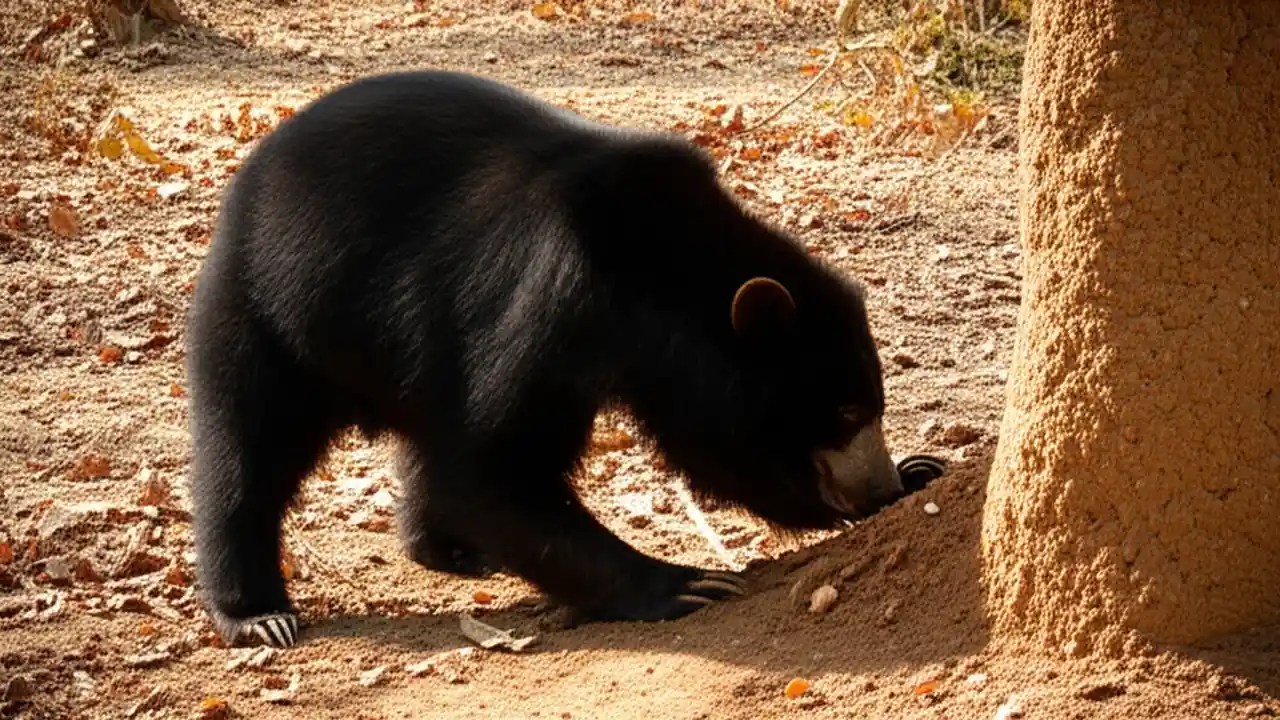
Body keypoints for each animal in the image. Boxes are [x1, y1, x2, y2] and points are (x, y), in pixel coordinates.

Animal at [185, 70, 925, 649]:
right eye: (846, 410)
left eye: (875, 404)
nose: (879, 487)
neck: (658, 268)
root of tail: (255, 169)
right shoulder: (552, 301)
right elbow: (494, 466)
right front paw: (687, 584)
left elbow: (719, 452)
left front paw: (921, 472)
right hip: (273, 308)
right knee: (247, 448)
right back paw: (258, 614)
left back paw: (450, 549)